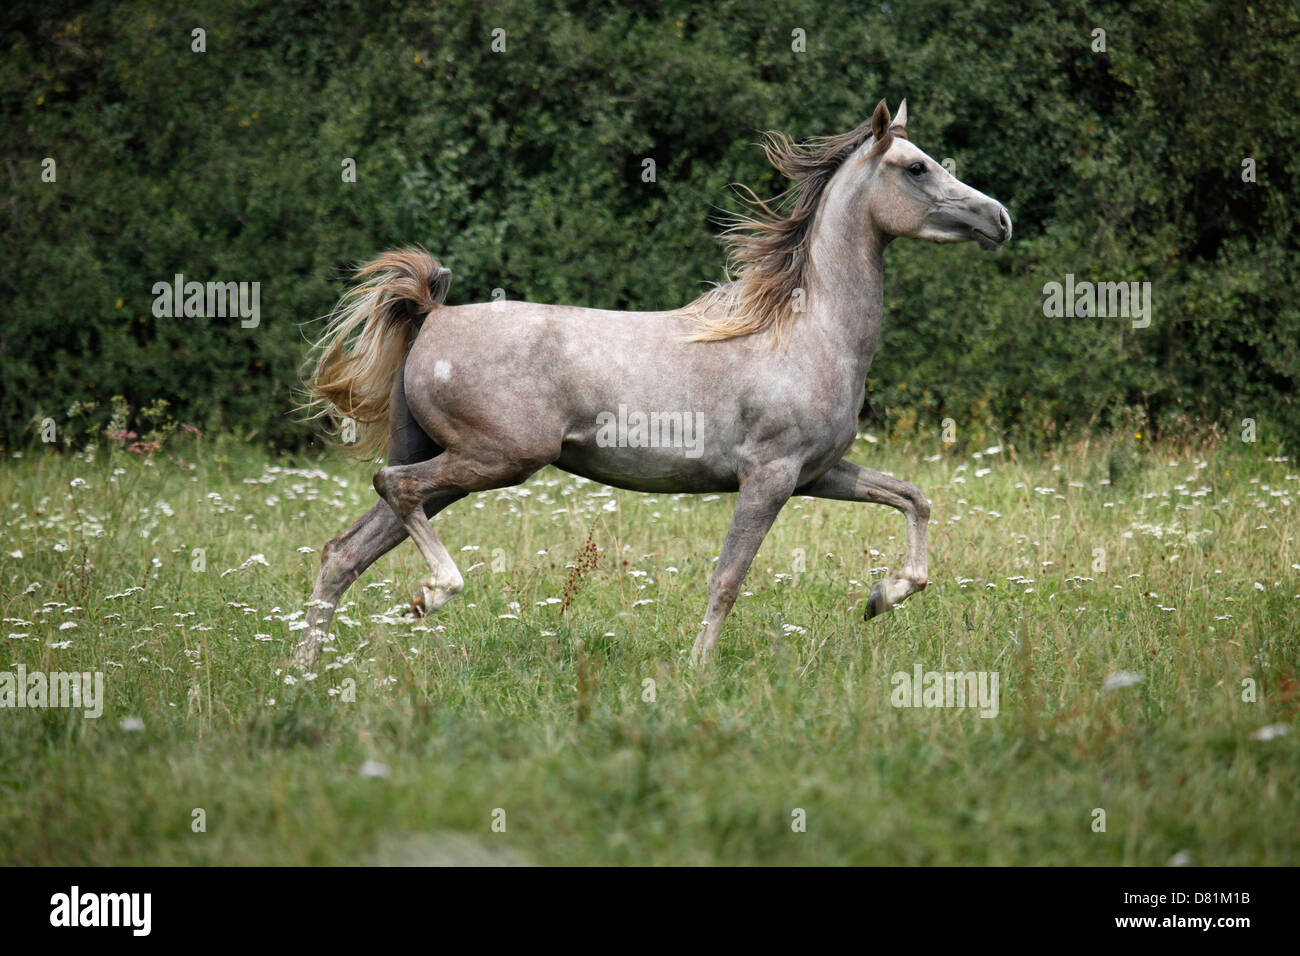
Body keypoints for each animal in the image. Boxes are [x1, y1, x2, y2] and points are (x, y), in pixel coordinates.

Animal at [297, 95, 1013, 665]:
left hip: (457, 467)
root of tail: (433, 317)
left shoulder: (817, 474)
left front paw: (880, 598)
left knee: (344, 550)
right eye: (917, 167)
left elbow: (914, 498)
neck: (808, 333)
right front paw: (697, 671)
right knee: (392, 488)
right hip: (497, 460)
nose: (1000, 220)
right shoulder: (770, 477)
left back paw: (305, 671)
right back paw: (432, 595)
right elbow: (727, 579)